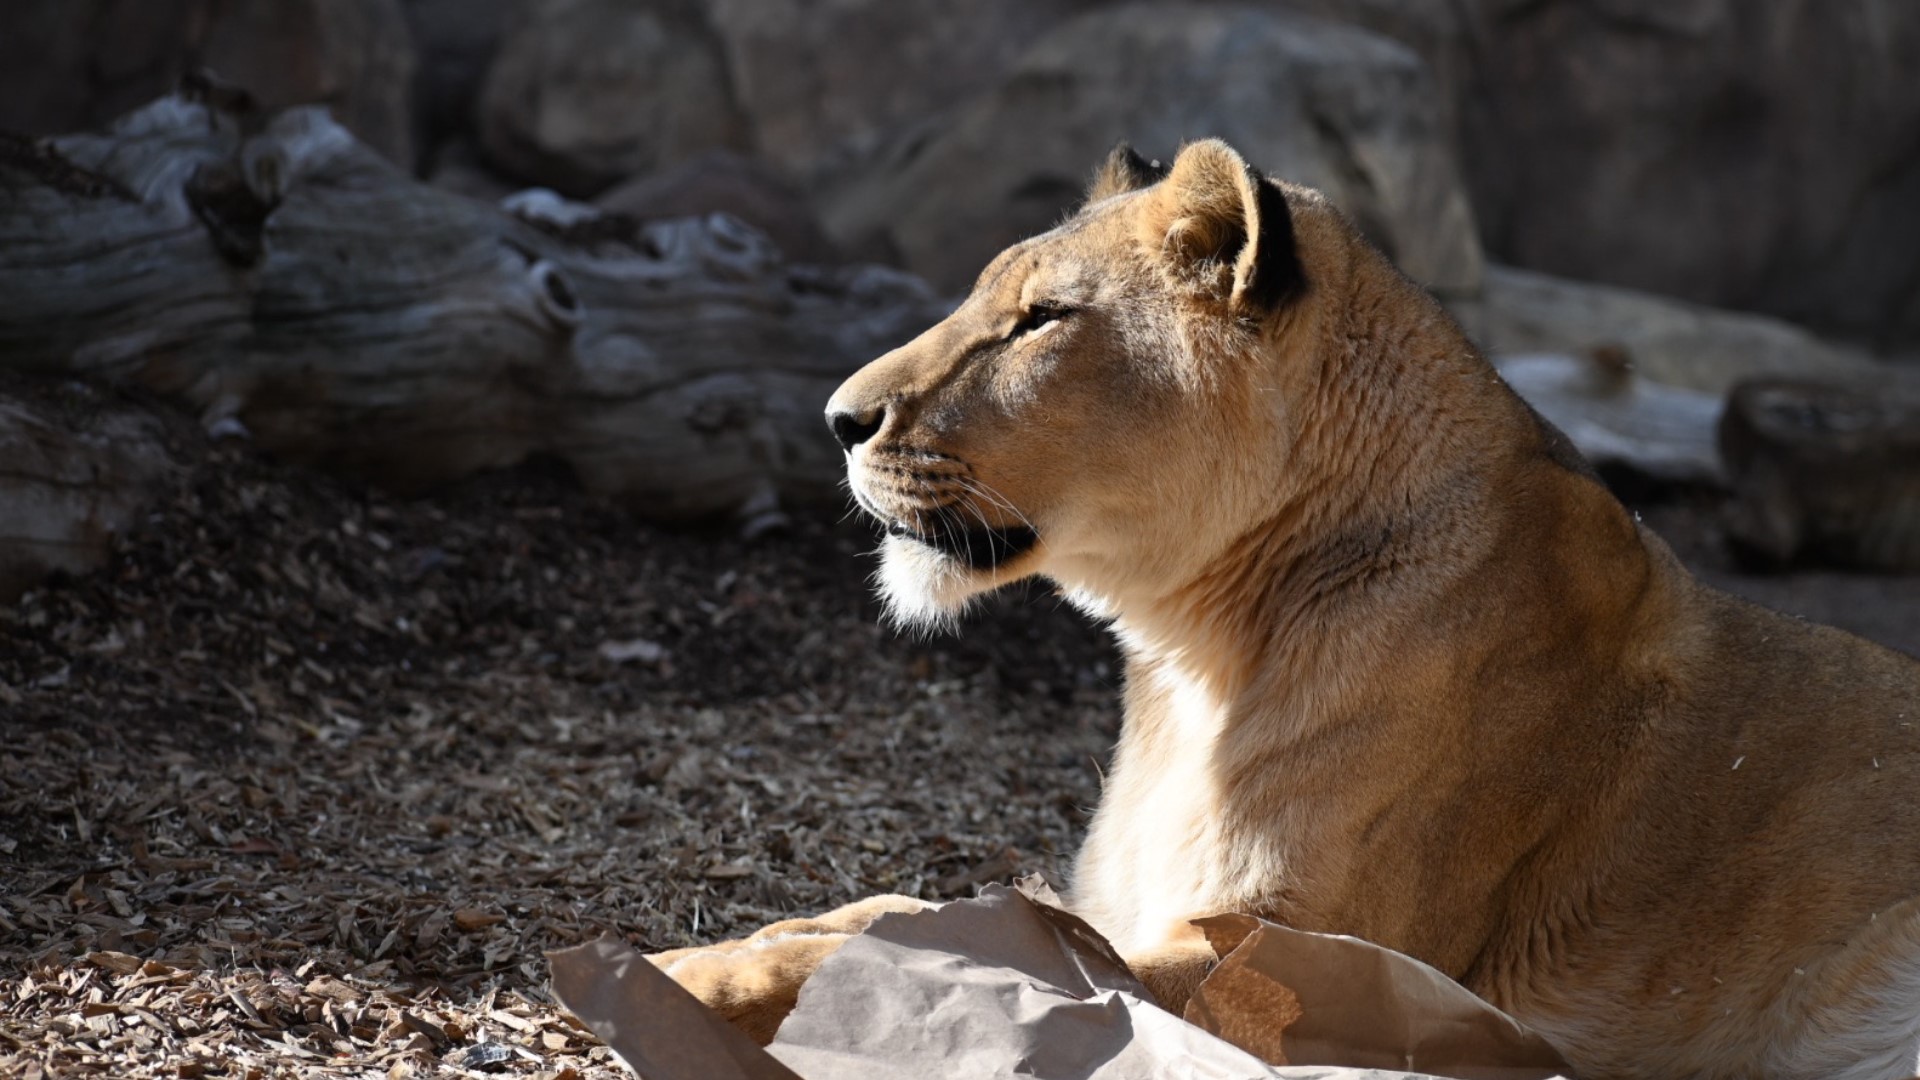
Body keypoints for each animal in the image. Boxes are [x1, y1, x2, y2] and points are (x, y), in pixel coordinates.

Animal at [649, 139, 1920, 1080]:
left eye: (1041, 319)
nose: (836, 418)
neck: (1187, 655)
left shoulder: (1304, 960)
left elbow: (945, 947)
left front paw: (687, 980)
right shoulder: (1125, 896)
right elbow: (898, 904)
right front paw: (734, 943)